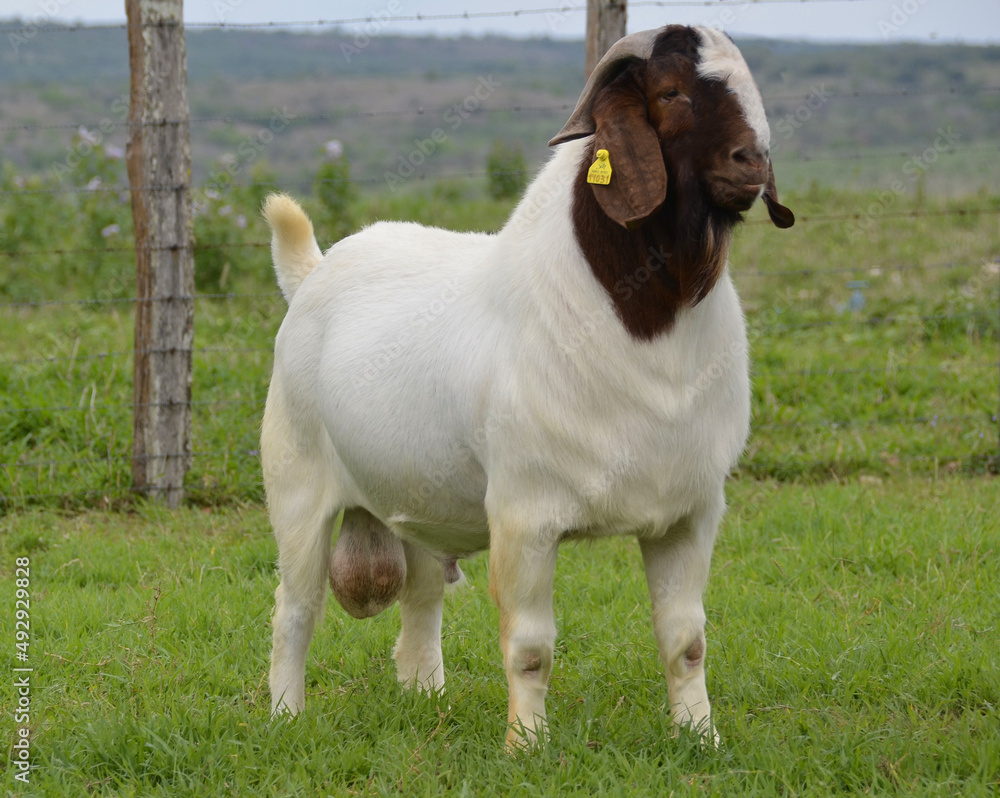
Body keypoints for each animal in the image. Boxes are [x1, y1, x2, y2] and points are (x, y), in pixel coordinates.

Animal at [261, 24, 794, 749]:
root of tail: (313, 271)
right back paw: (284, 717)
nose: (753, 164)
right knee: (296, 609)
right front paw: (528, 748)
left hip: (416, 498)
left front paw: (699, 738)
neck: (645, 325)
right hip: (297, 488)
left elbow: (687, 640)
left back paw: (425, 697)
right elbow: (531, 647)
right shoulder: (524, 517)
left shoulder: (689, 513)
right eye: (670, 92)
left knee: (421, 595)